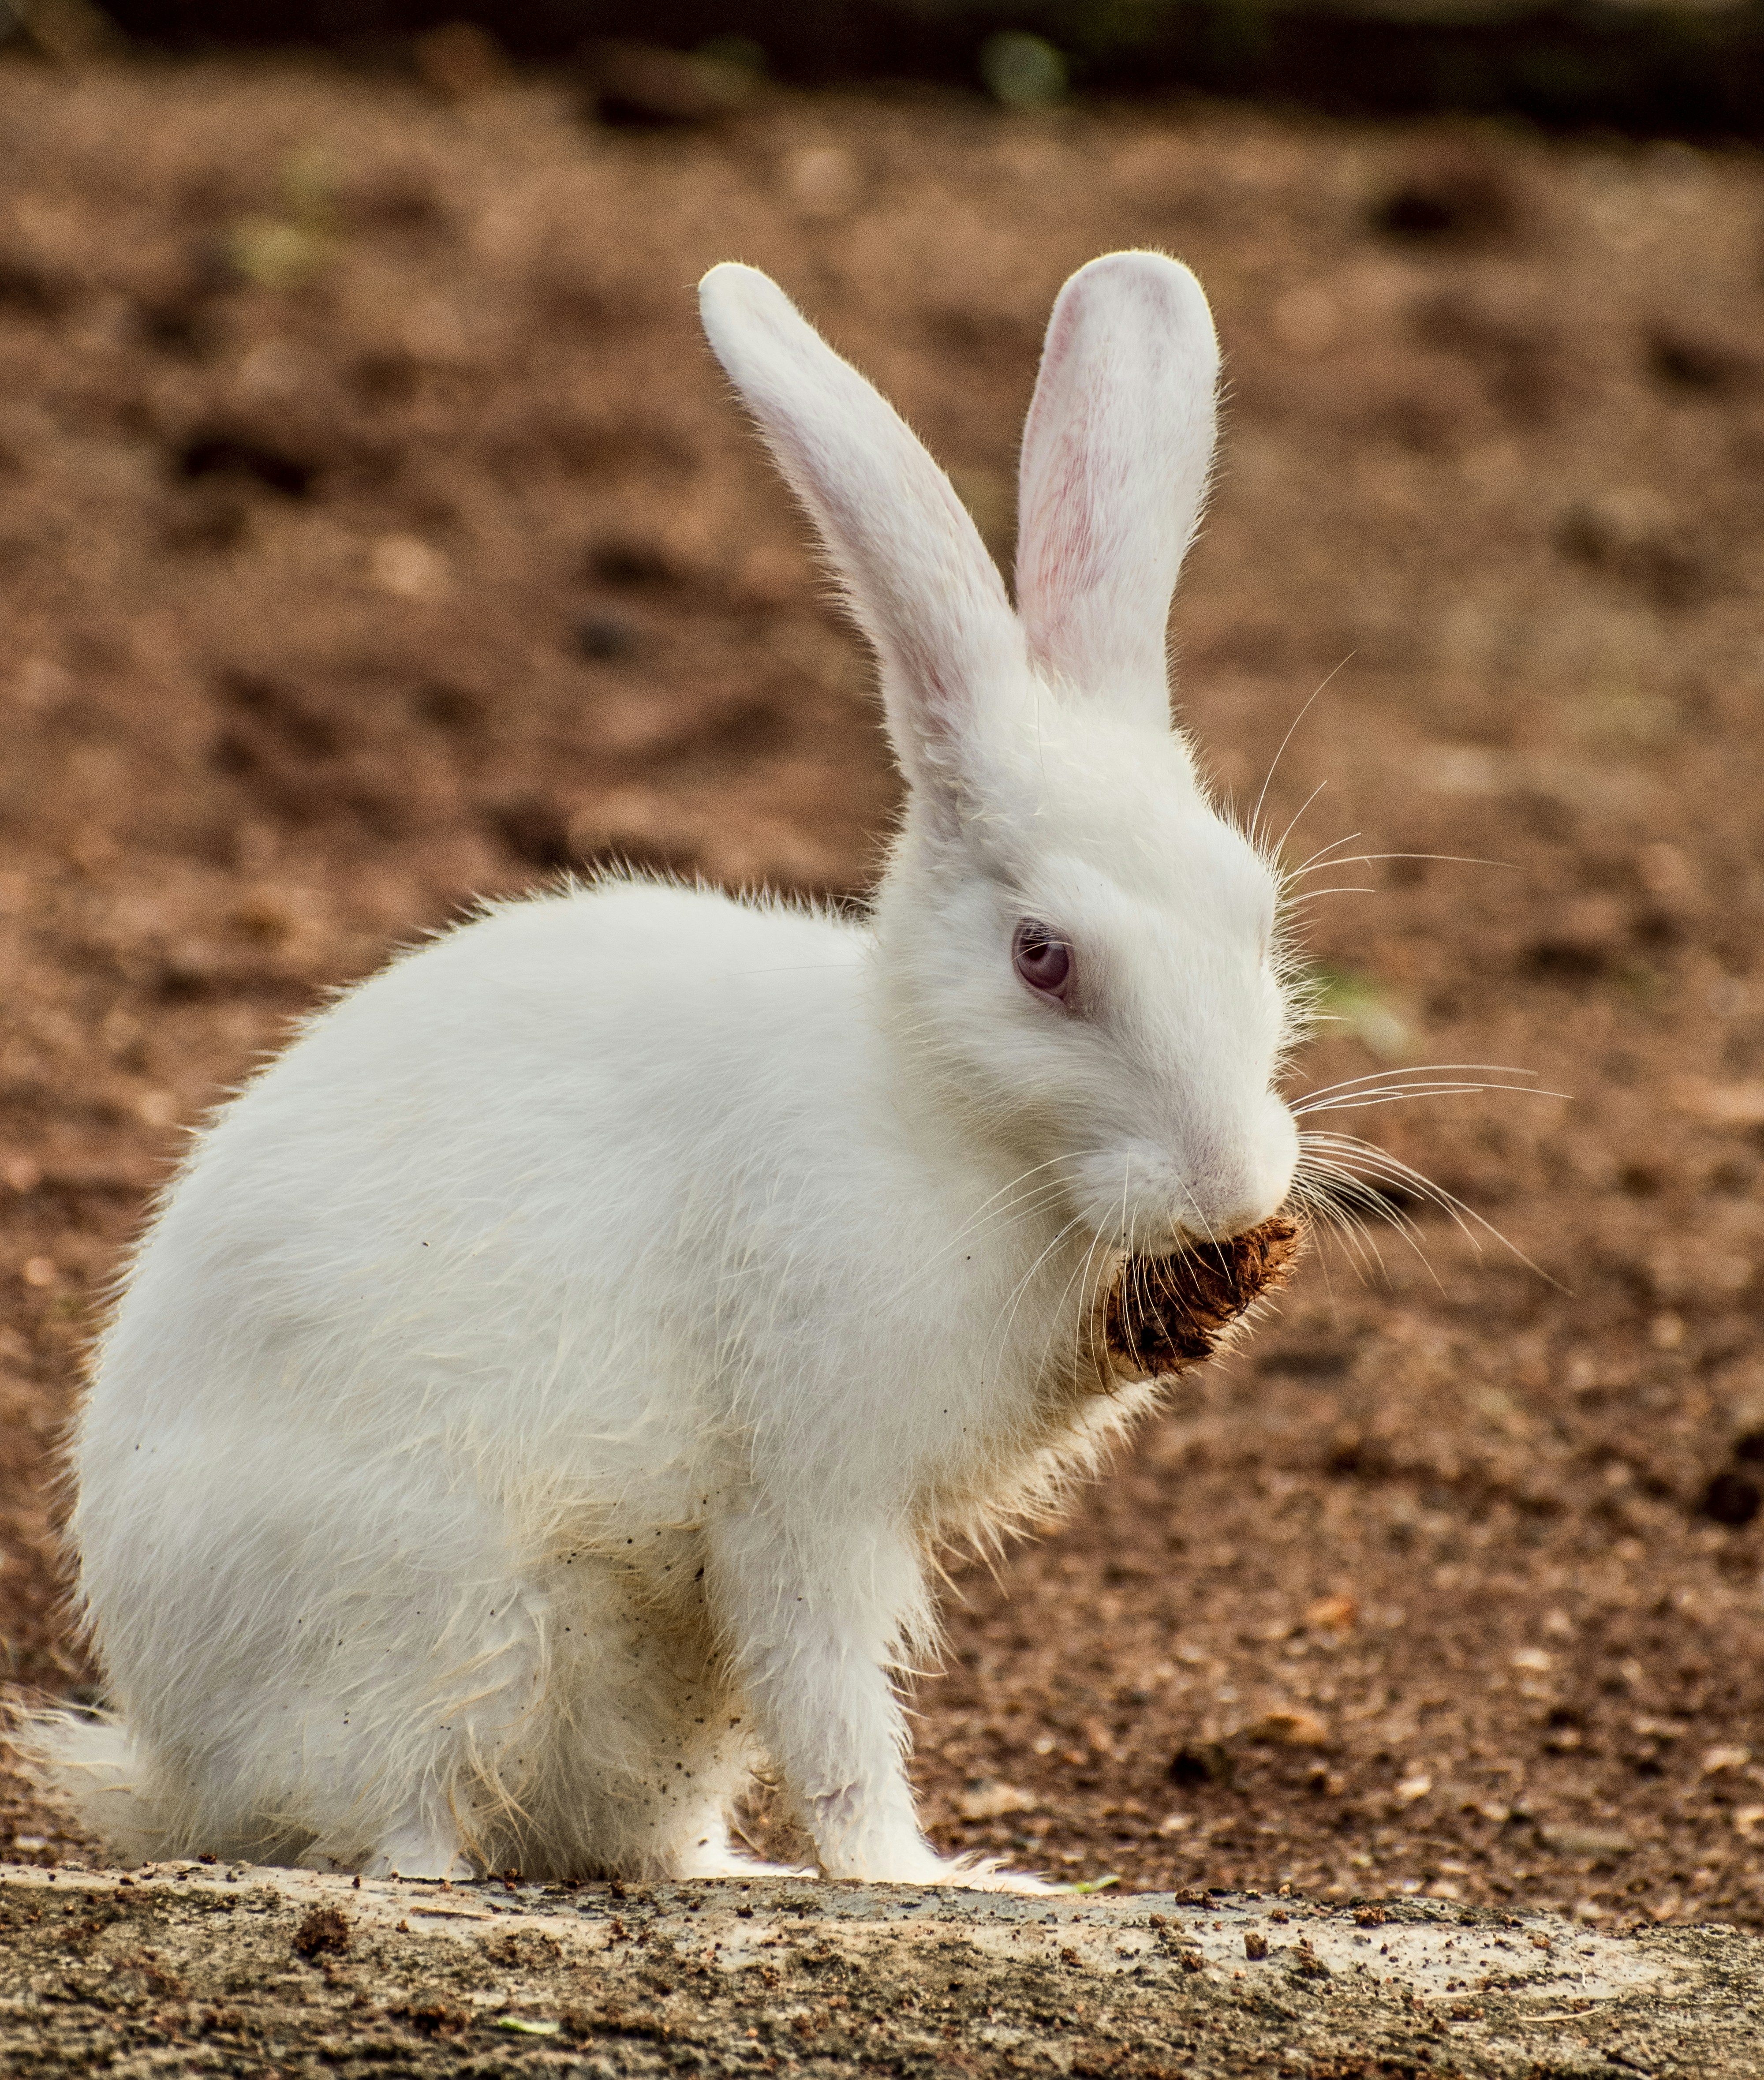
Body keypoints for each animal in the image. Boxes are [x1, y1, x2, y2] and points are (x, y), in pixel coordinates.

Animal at [29, 250, 1301, 1889]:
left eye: (1256, 911)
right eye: (1043, 958)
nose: (1231, 1183)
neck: (950, 1126)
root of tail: (173, 1769)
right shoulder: (801, 1499)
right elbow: (833, 1702)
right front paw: (912, 1875)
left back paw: (714, 1872)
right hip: (456, 1626)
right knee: (393, 1816)